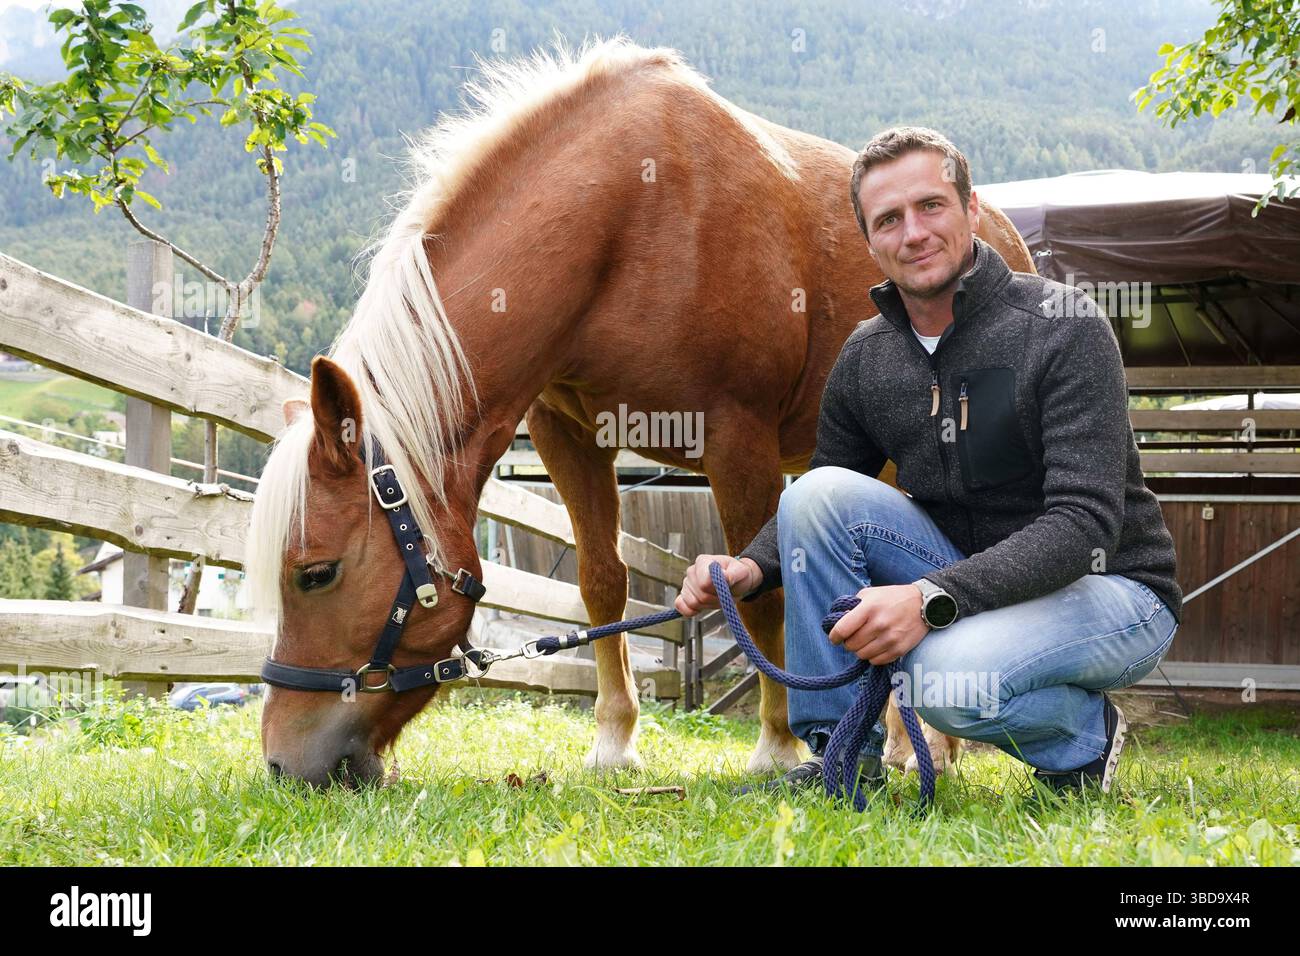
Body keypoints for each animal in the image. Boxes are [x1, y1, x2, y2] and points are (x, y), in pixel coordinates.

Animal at [247, 36, 1035, 787]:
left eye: (315, 573)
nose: (285, 762)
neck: (631, 218)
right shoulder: (567, 434)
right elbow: (603, 584)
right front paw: (614, 743)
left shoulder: (736, 436)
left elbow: (758, 598)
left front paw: (776, 747)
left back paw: (923, 748)